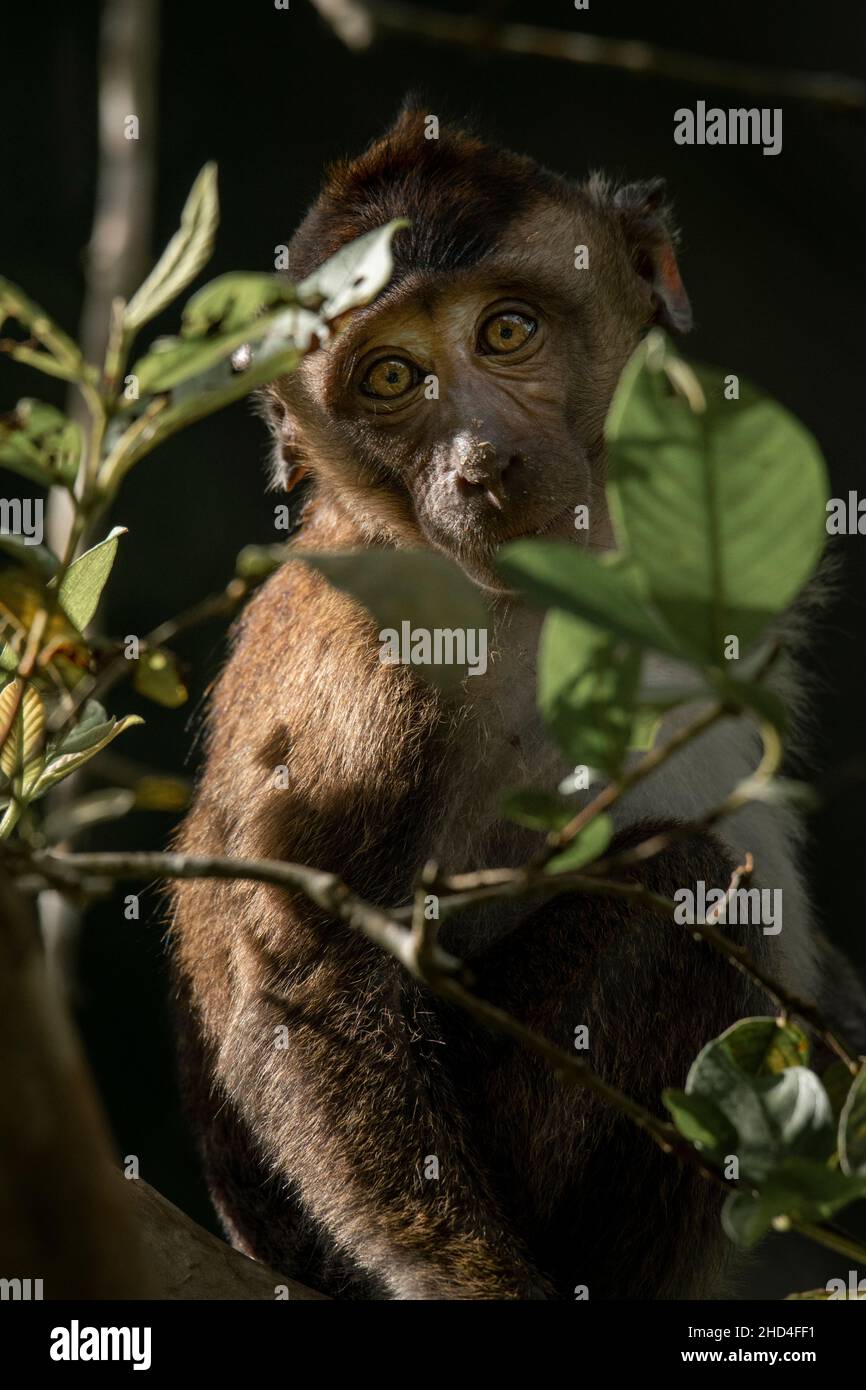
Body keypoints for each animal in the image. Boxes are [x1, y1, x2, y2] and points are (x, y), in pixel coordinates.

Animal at [169, 106, 866, 1300]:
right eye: (391, 376)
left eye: (504, 332)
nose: (480, 462)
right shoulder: (375, 653)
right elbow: (310, 967)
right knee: (682, 889)